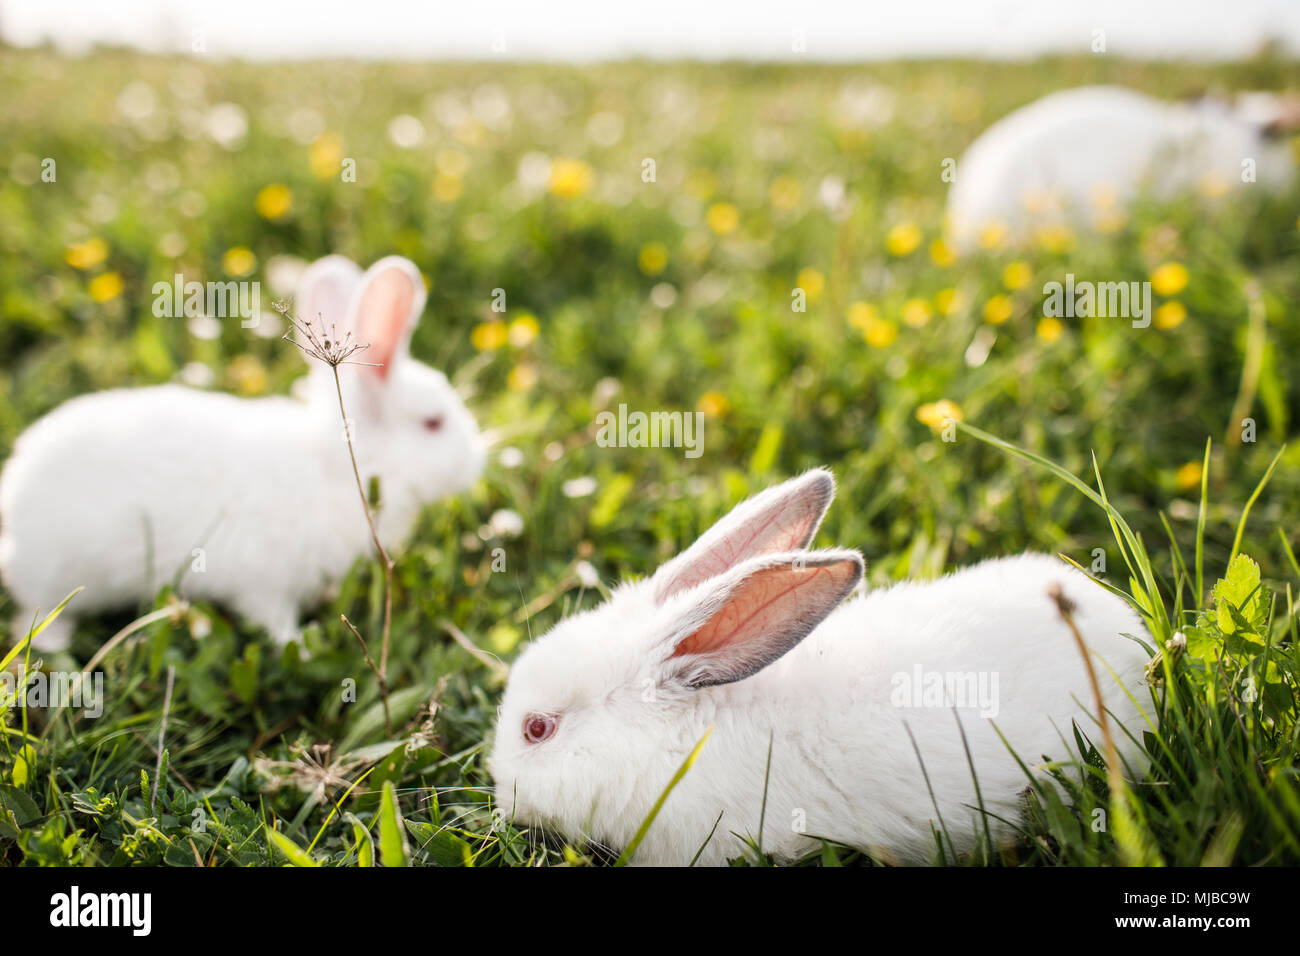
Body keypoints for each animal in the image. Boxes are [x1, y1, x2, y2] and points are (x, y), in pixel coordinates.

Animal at [0, 254, 486, 652]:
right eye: (434, 423)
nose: (478, 461)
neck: (338, 469)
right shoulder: (265, 584)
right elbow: (274, 620)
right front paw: (300, 647)